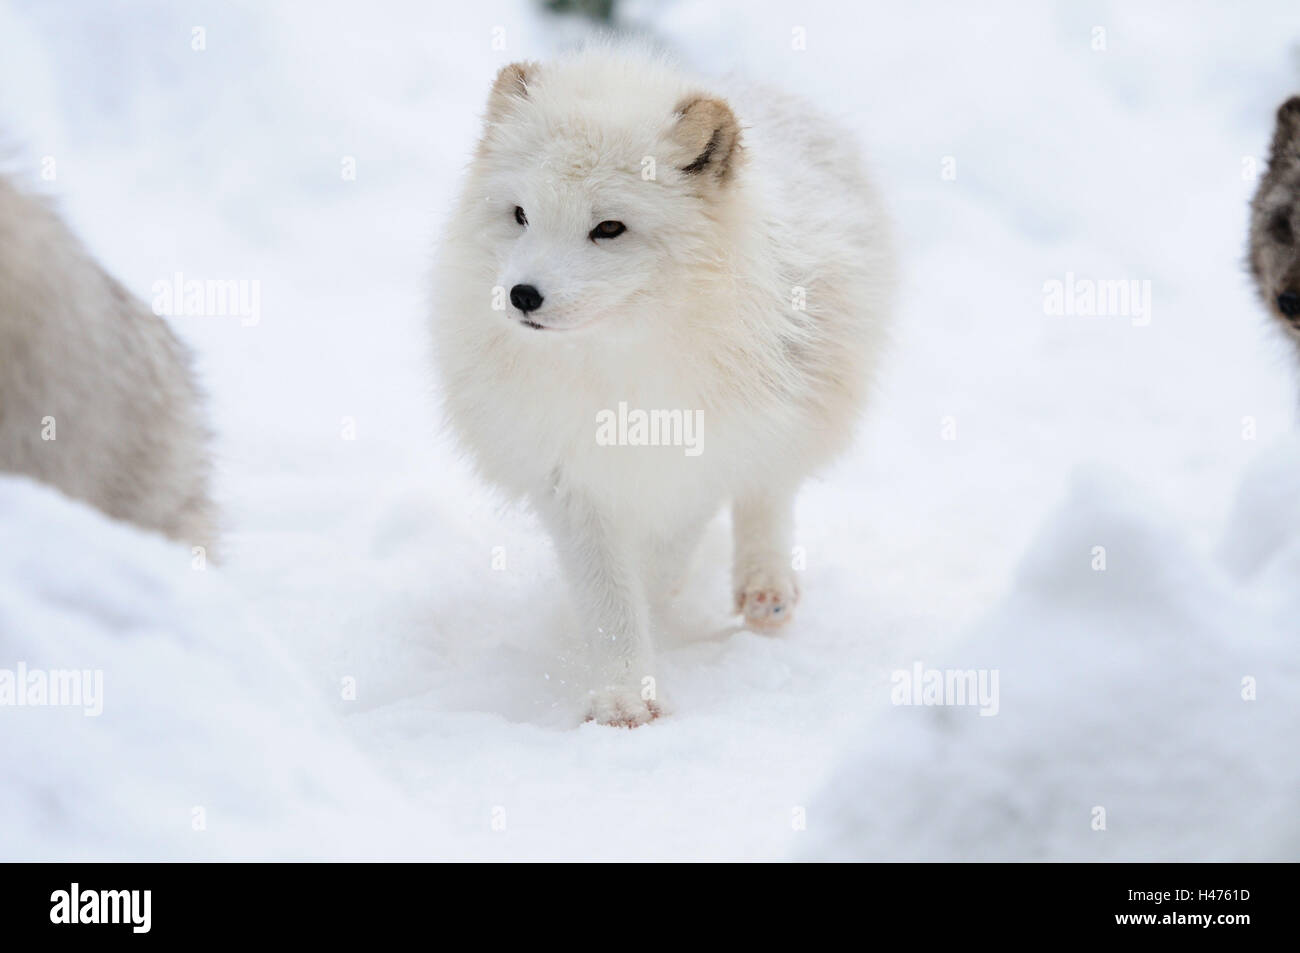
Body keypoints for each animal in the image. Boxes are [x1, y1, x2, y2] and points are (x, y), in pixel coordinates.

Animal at [433, 46, 896, 726]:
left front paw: (649, 615)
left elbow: (662, 558)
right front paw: (623, 691)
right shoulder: (569, 477)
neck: (615, 368)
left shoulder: (699, 458)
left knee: (769, 489)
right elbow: (607, 592)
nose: (522, 296)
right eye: (521, 215)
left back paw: (764, 587)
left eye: (608, 228)